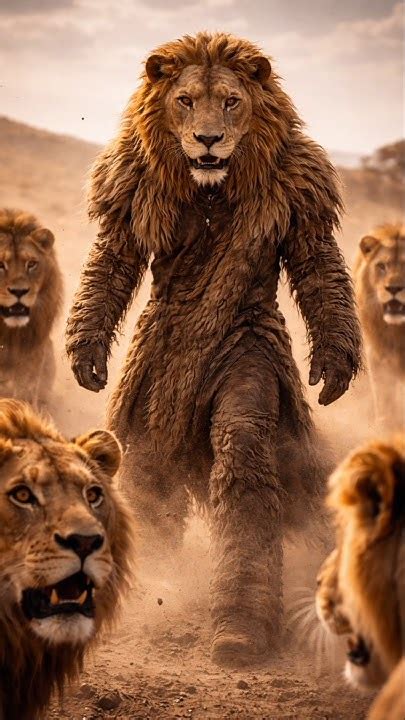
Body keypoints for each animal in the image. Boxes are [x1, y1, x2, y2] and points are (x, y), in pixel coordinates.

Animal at [66, 32, 361, 666]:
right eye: (184, 101)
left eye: (230, 101)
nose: (207, 139)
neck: (212, 188)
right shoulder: (127, 190)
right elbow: (114, 257)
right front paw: (86, 354)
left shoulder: (303, 196)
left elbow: (317, 263)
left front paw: (242, 630)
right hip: (148, 428)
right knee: (150, 489)